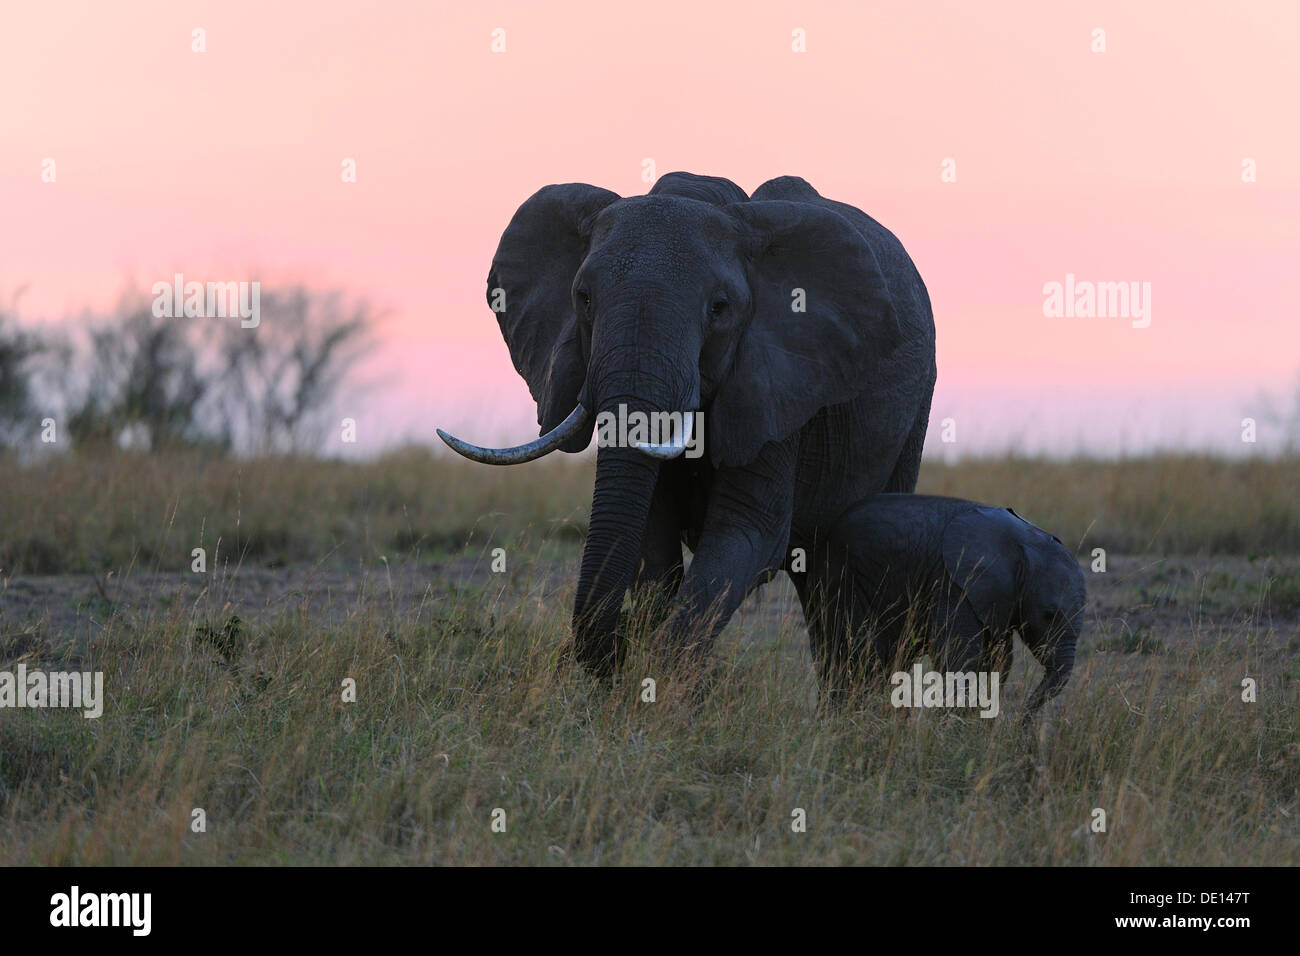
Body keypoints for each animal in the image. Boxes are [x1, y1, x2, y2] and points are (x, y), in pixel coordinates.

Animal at [438, 171, 936, 678]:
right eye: (583, 298)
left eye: (719, 308)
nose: (617, 641)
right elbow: (652, 535)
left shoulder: (777, 383)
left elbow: (747, 536)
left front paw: (660, 682)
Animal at [802, 494, 1085, 718]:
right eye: (1048, 615)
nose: (1022, 725)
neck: (1025, 541)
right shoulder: (955, 585)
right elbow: (961, 659)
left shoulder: (996, 600)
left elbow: (998, 662)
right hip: (847, 578)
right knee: (864, 653)